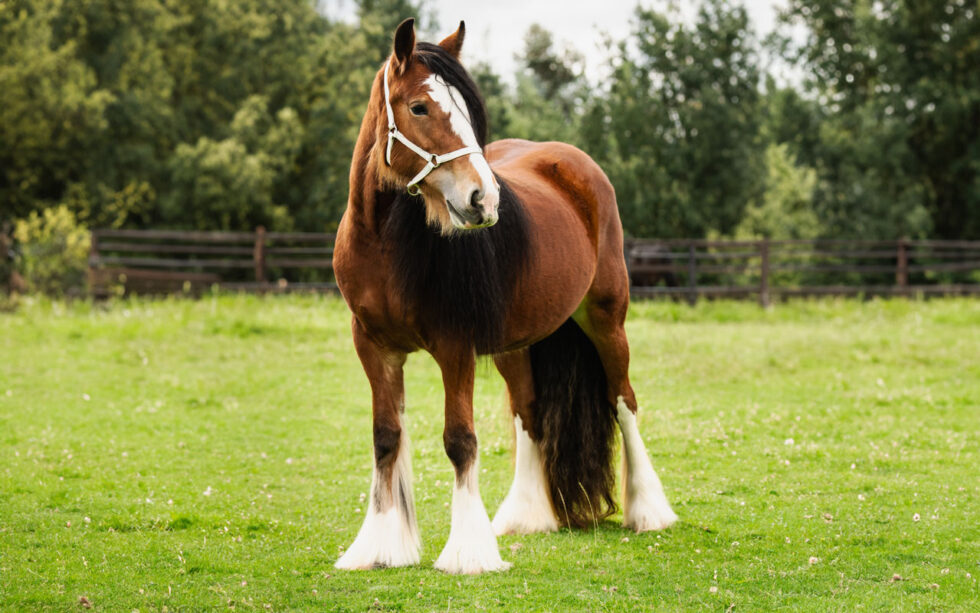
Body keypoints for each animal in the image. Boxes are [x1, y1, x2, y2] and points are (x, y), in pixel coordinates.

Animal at [332, 18, 677, 575]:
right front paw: (380, 546)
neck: (384, 243)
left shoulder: (454, 347)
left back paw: (648, 511)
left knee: (622, 400)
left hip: (607, 320)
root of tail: (575, 163)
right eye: (419, 107)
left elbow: (459, 440)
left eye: (467, 110)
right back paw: (526, 516)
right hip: (517, 343)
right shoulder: (374, 347)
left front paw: (468, 553)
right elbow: (386, 437)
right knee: (529, 412)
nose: (483, 199)